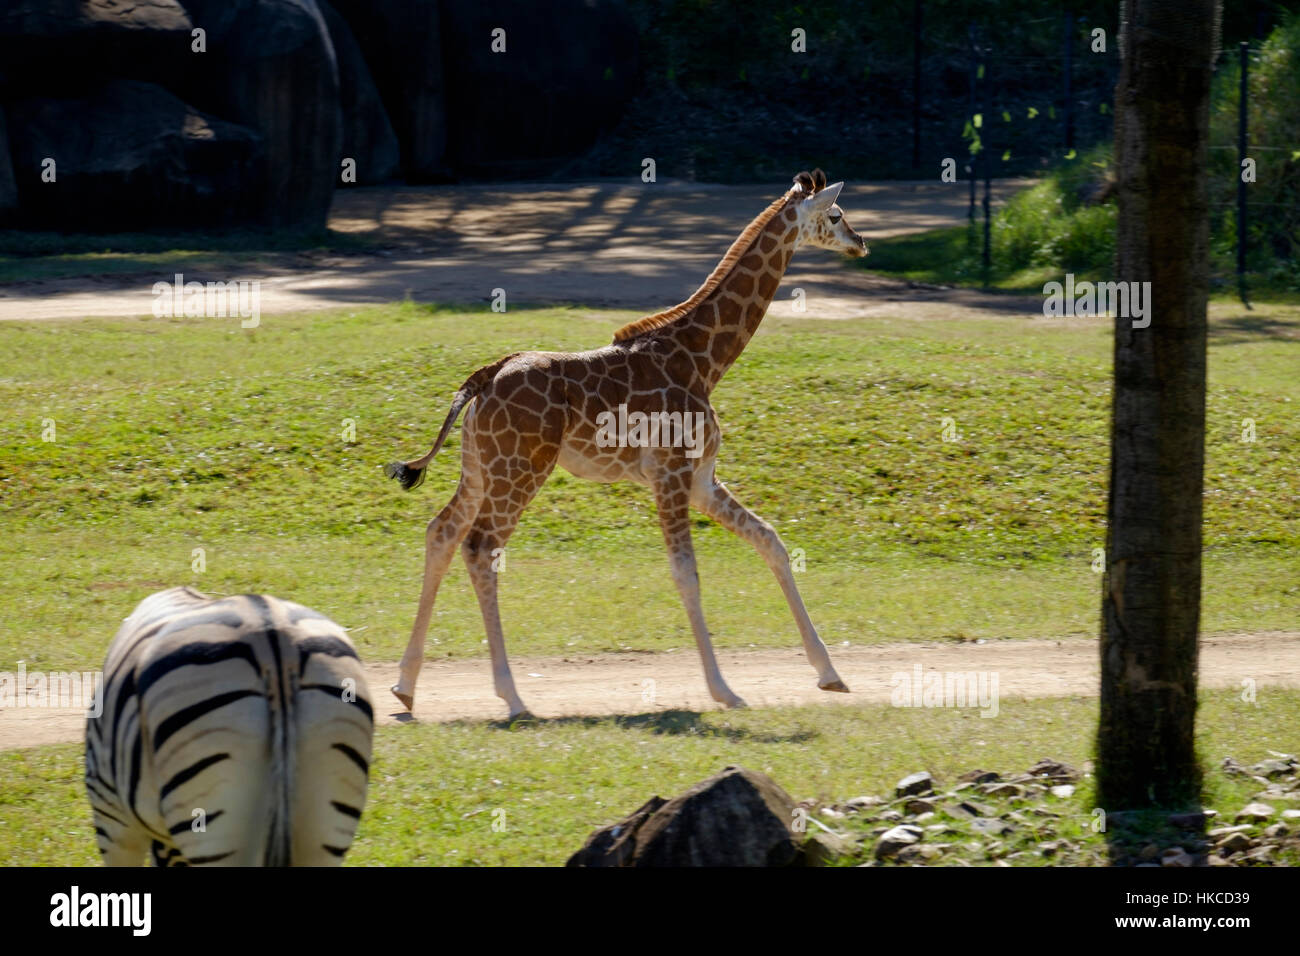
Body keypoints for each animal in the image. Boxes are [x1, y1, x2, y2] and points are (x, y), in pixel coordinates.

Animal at [385, 169, 868, 718]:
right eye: (836, 214)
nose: (861, 244)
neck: (705, 360)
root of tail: (483, 379)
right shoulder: (671, 475)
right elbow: (687, 573)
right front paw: (724, 691)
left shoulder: (701, 479)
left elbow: (771, 541)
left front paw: (830, 673)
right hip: (521, 470)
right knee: (481, 547)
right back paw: (512, 697)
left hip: (481, 466)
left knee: (441, 532)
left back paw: (405, 686)